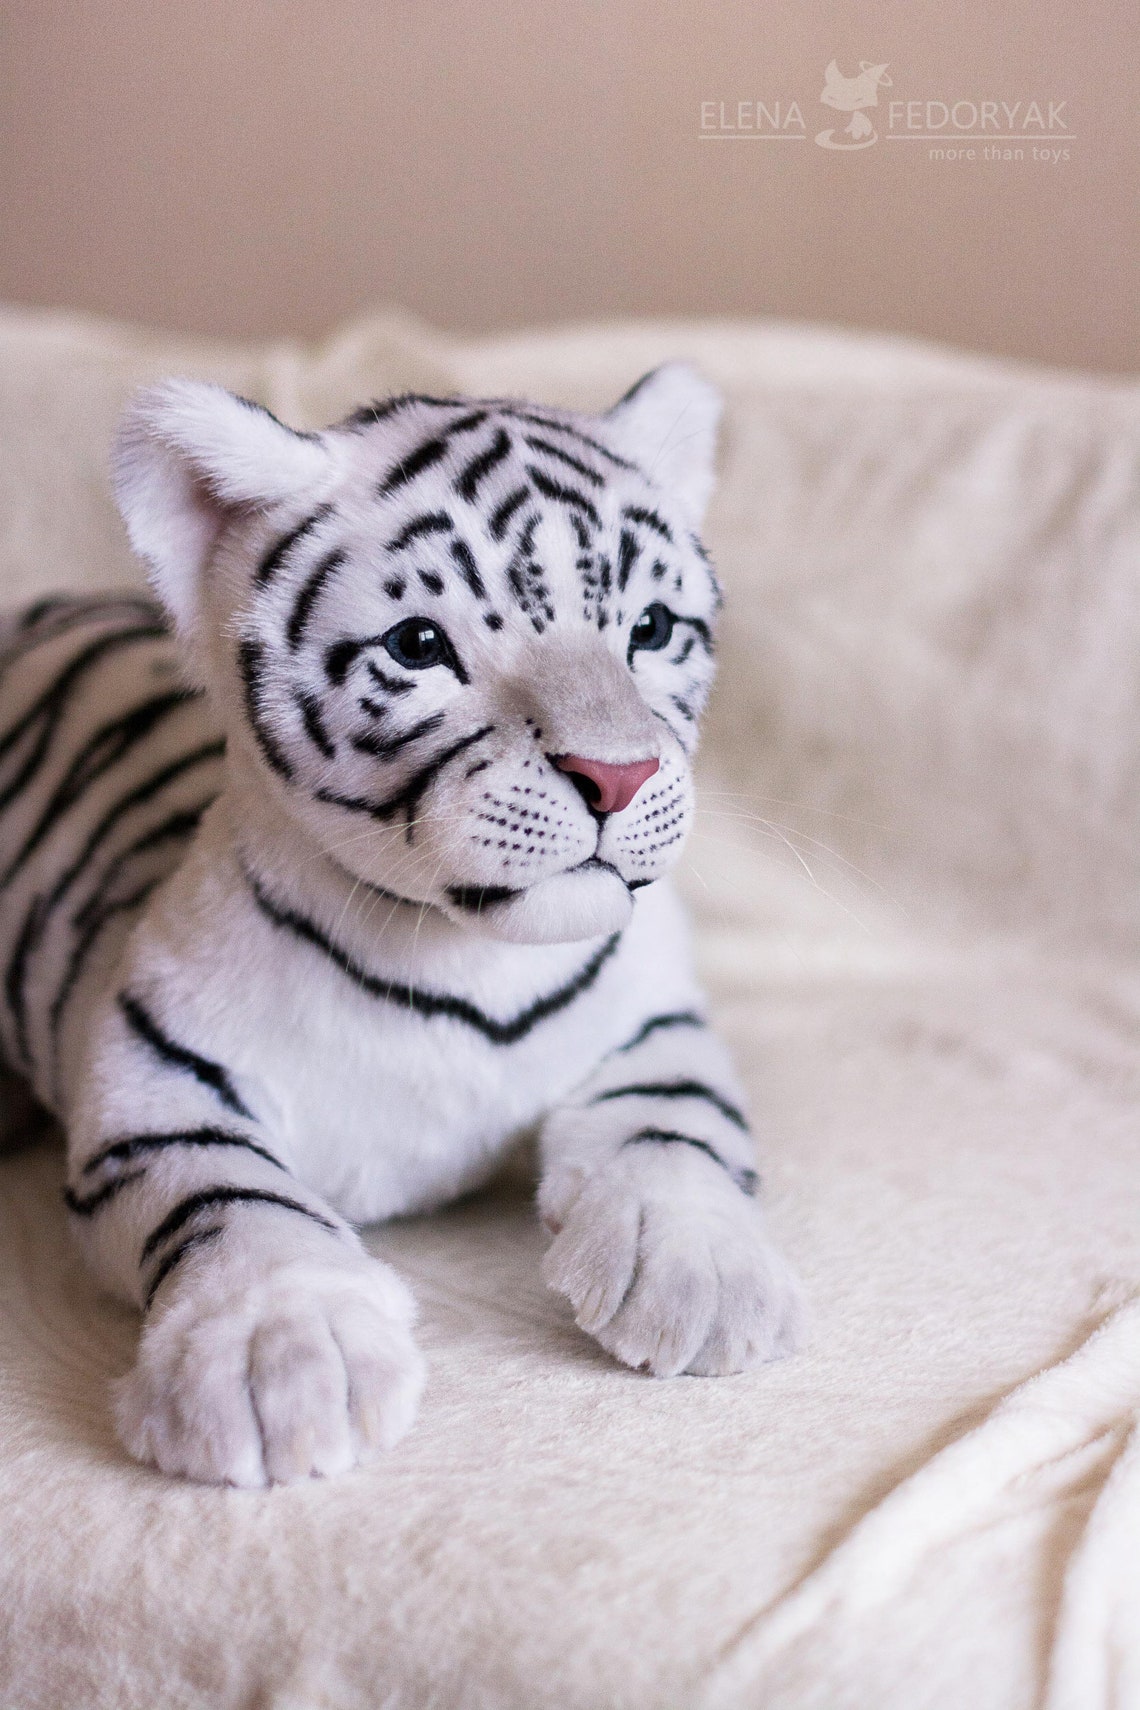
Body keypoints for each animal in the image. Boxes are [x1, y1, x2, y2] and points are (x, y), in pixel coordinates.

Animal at [0, 364, 801, 1486]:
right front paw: (280, 1356)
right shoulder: (156, 1079)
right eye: (421, 646)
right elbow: (227, 1193)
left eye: (649, 629)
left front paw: (703, 1274)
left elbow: (675, 1120)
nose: (617, 775)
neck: (469, 962)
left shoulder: (657, 1018)